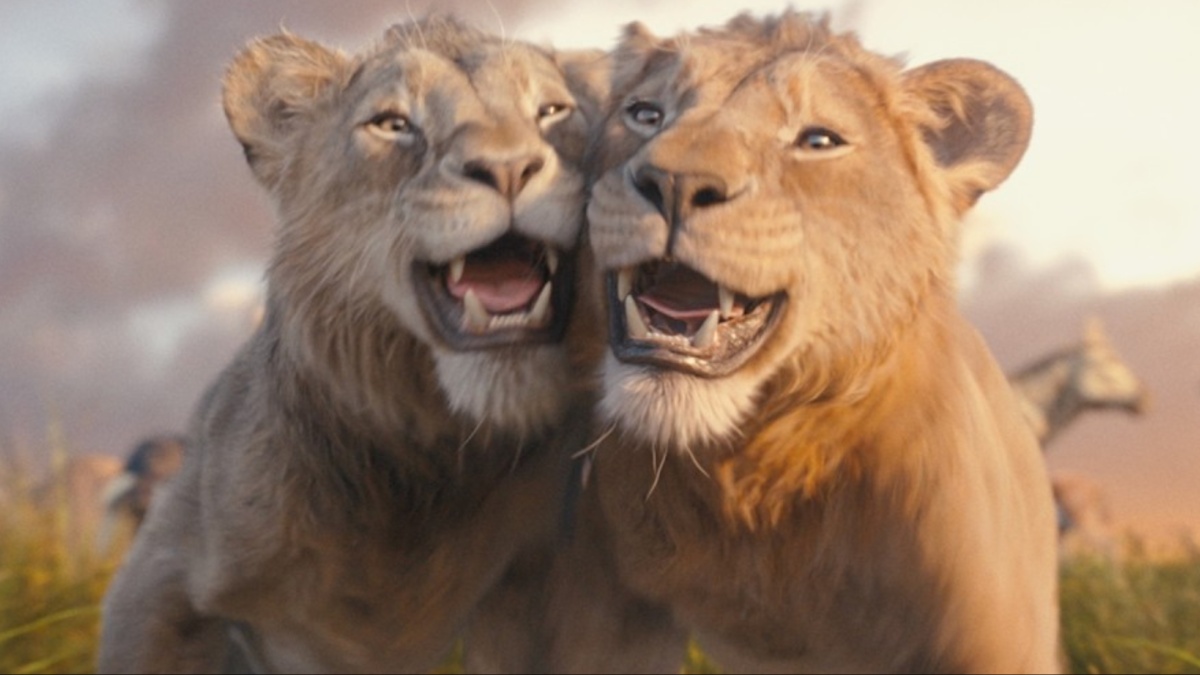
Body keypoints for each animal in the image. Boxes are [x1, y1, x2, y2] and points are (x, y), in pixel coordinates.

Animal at [98, 17, 606, 673]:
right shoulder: (159, 571)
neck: (426, 463)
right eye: (392, 123)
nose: (509, 168)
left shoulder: (546, 589)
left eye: (551, 111)